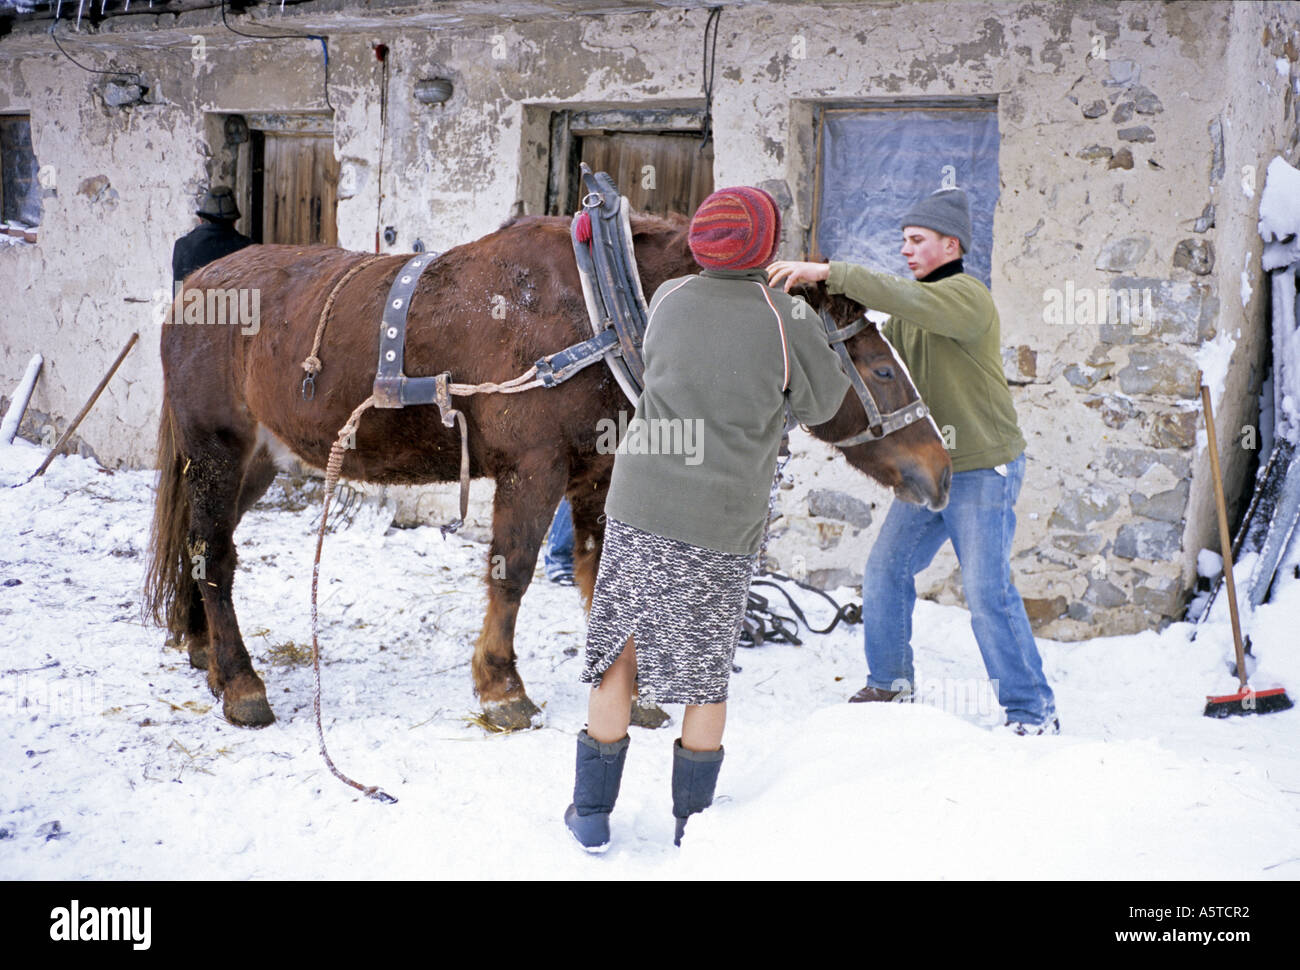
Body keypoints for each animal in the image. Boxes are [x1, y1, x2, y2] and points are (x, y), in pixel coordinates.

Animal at [143, 211, 952, 730]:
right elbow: (515, 570)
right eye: (882, 369)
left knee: (202, 544)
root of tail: (195, 288)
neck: (604, 310)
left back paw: (204, 650)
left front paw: (629, 693)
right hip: (216, 447)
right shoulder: (533, 469)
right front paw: (502, 687)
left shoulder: (597, 473)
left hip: (255, 460)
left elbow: (600, 577)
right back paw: (241, 684)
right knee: (214, 553)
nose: (940, 470)